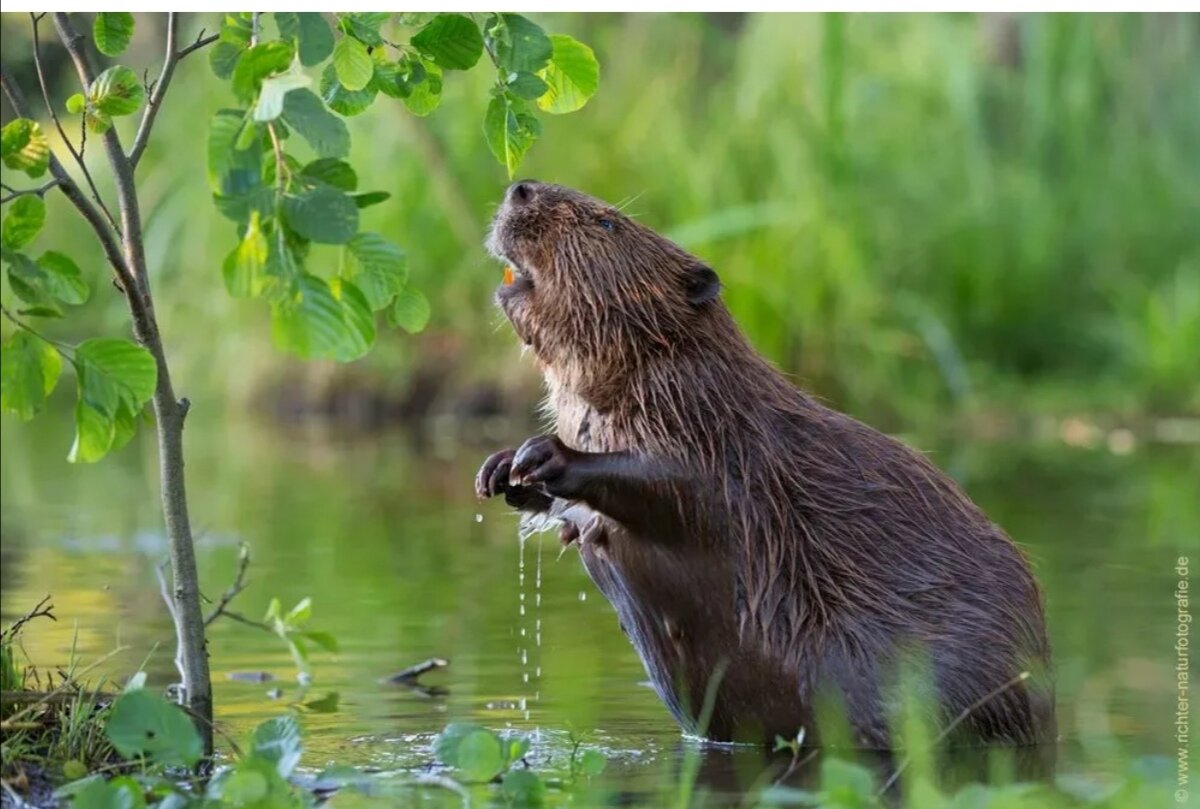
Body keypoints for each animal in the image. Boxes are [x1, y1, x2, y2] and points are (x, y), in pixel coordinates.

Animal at [472, 180, 1056, 748]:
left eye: (607, 222)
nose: (521, 187)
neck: (672, 363)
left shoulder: (717, 429)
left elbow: (678, 487)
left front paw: (545, 454)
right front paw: (501, 471)